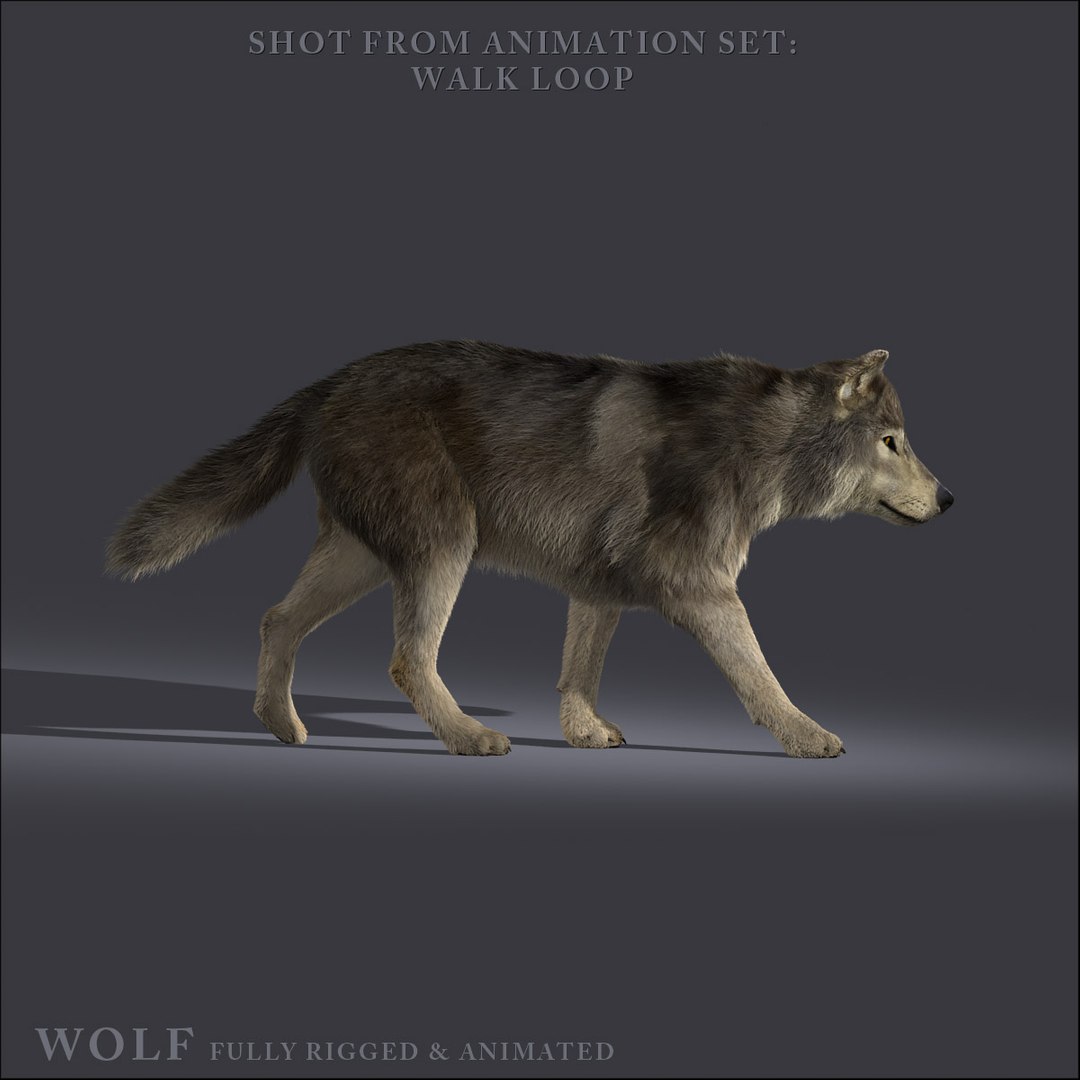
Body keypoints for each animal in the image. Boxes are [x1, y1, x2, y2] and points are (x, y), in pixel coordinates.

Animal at [107, 341, 953, 758]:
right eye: (893, 441)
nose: (950, 499)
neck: (762, 441)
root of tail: (332, 380)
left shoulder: (599, 585)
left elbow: (579, 671)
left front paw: (583, 734)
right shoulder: (700, 586)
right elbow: (761, 676)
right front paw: (808, 737)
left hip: (365, 557)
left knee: (277, 619)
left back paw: (283, 728)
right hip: (443, 548)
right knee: (407, 659)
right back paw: (468, 739)